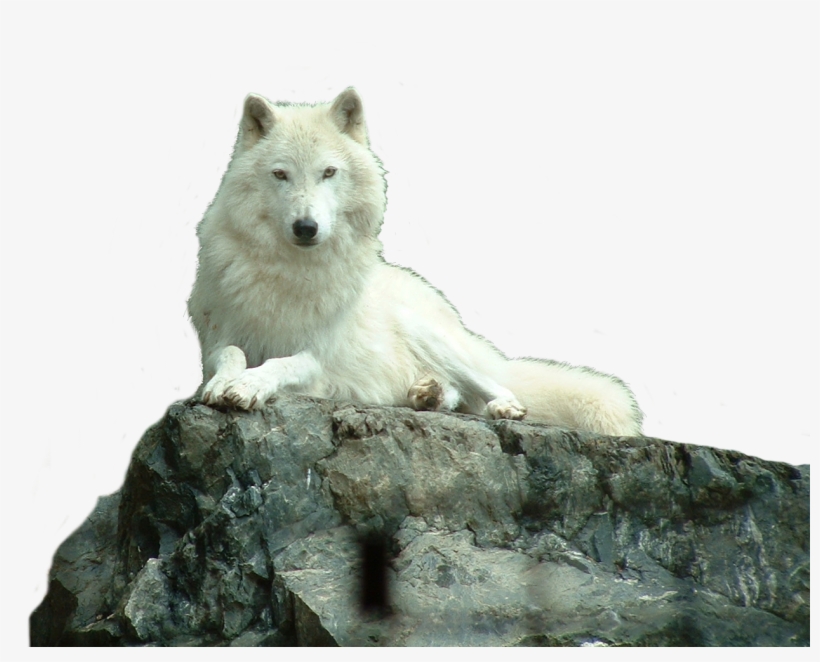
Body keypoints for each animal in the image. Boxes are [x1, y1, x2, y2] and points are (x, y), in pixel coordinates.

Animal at [188, 89, 643, 436]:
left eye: (328, 172)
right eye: (280, 174)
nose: (306, 227)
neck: (290, 271)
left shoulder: (318, 358)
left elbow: (282, 362)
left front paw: (250, 385)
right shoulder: (217, 339)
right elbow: (230, 354)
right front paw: (226, 383)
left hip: (428, 335)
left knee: (491, 386)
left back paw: (499, 406)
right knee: (457, 395)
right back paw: (427, 394)